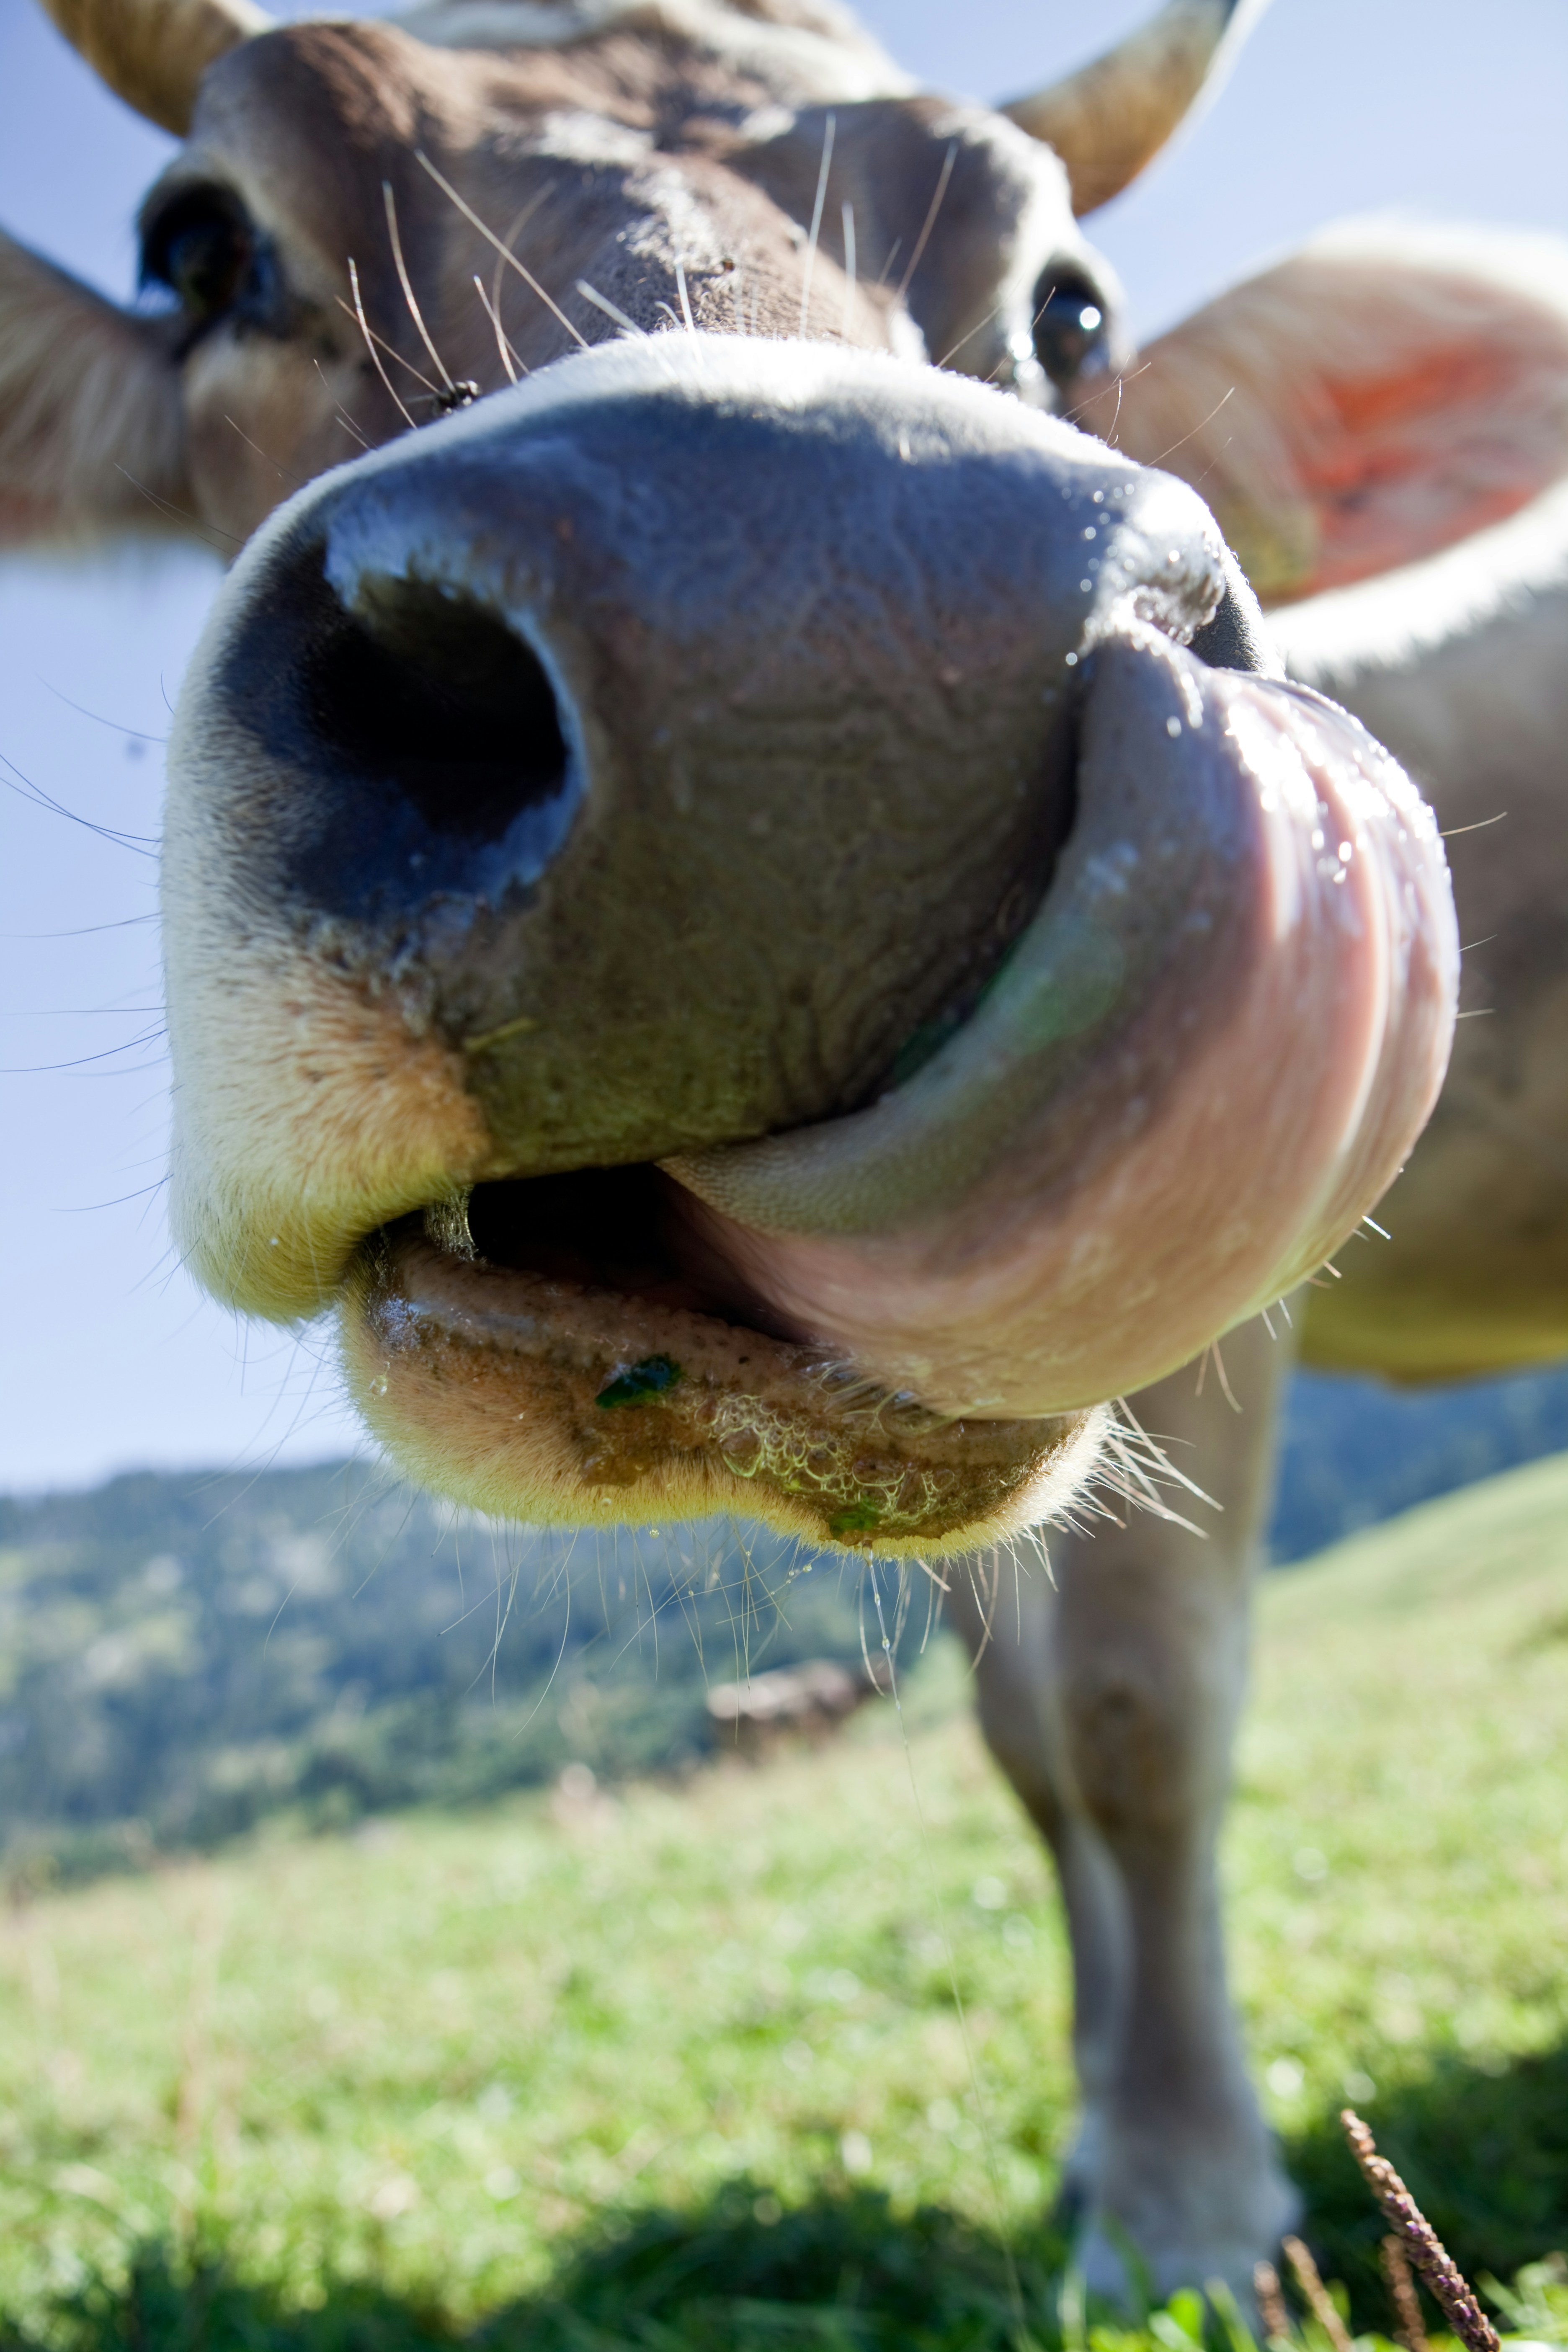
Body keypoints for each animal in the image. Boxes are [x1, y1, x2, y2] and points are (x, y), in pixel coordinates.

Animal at [6, 0, 1533, 2304]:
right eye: (195, 245)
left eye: (1072, 309)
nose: (816, 630)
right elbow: (1025, 1744)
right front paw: (1098, 2135)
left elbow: (1135, 1713)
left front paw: (1181, 2199)